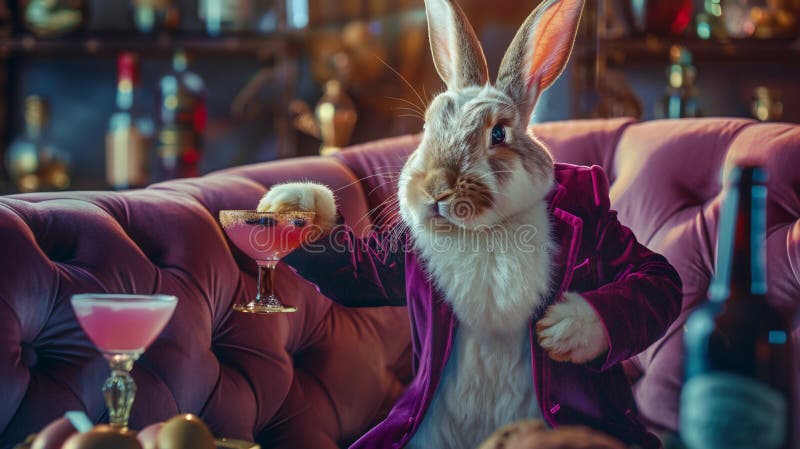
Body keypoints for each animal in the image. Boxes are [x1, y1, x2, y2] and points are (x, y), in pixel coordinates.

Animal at [256, 0, 681, 448]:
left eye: (498, 134)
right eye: (427, 127)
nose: (435, 189)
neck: (484, 231)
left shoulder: (606, 228)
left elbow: (656, 278)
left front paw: (562, 331)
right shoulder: (391, 260)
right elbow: (354, 269)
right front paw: (291, 202)